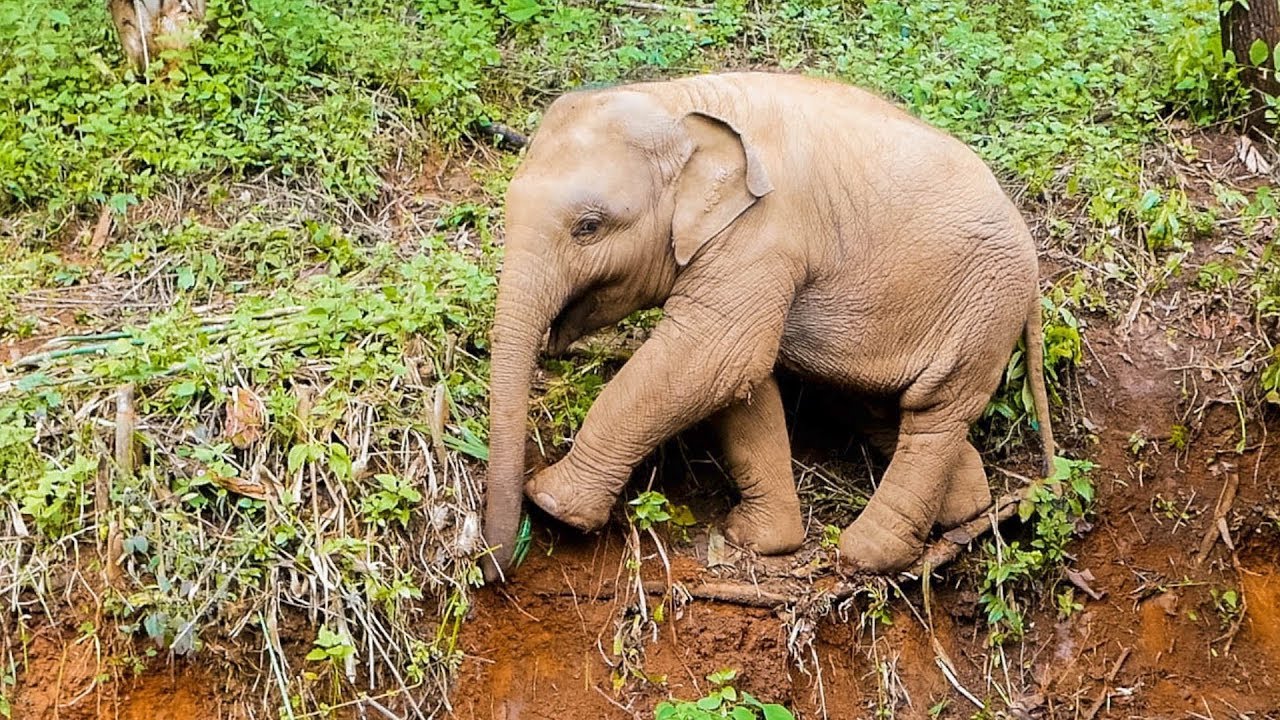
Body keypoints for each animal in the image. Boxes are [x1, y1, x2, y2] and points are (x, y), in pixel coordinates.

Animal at [480, 71, 1055, 583]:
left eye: (588, 227)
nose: (494, 570)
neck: (680, 99)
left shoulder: (762, 235)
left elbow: (716, 353)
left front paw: (553, 505)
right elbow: (742, 384)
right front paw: (758, 541)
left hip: (986, 306)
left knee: (935, 412)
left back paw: (864, 556)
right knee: (876, 404)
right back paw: (967, 508)